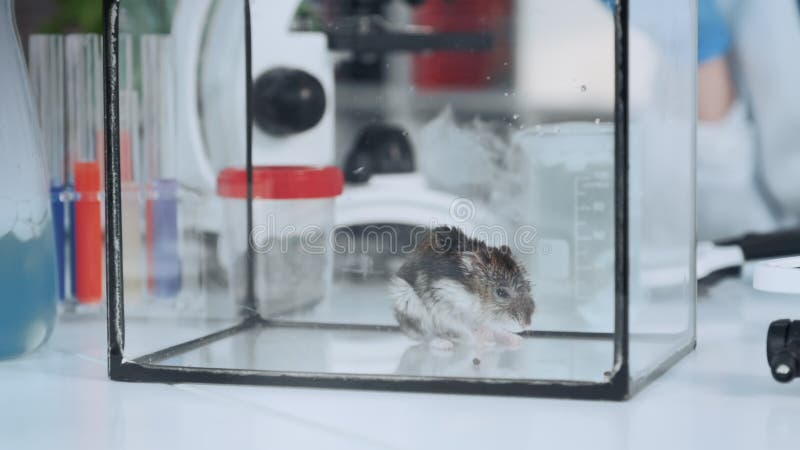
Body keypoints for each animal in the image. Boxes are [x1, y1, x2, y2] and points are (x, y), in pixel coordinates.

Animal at [390, 226, 535, 350]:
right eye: (501, 292)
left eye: (528, 287)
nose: (527, 325)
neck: (475, 297)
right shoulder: (444, 307)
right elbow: (463, 328)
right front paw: (485, 339)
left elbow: (492, 325)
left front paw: (493, 335)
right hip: (410, 306)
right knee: (425, 335)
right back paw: (444, 344)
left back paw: (515, 339)